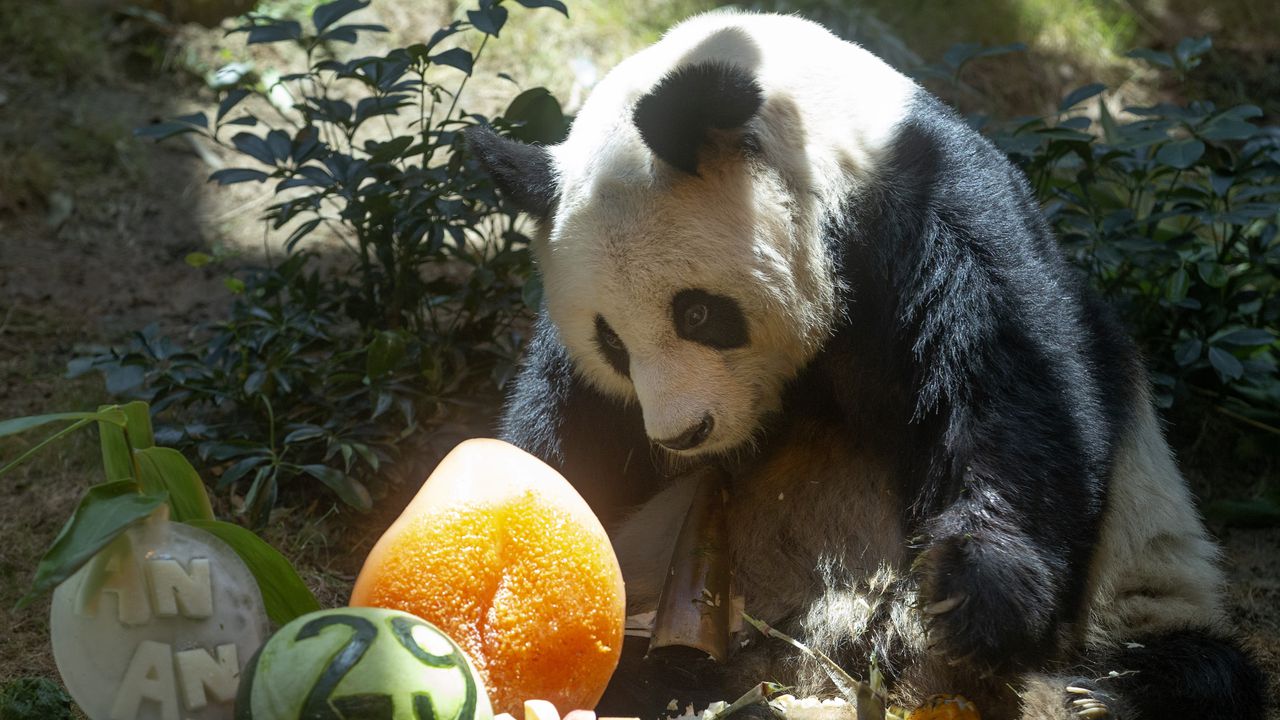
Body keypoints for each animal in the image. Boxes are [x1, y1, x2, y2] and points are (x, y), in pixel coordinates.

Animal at [467, 11, 1266, 720]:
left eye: (696, 314)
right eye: (612, 342)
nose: (681, 435)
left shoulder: (933, 215)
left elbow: (1013, 393)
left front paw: (969, 593)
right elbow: (566, 430)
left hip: (1141, 577)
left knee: (1199, 665)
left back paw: (1099, 695)